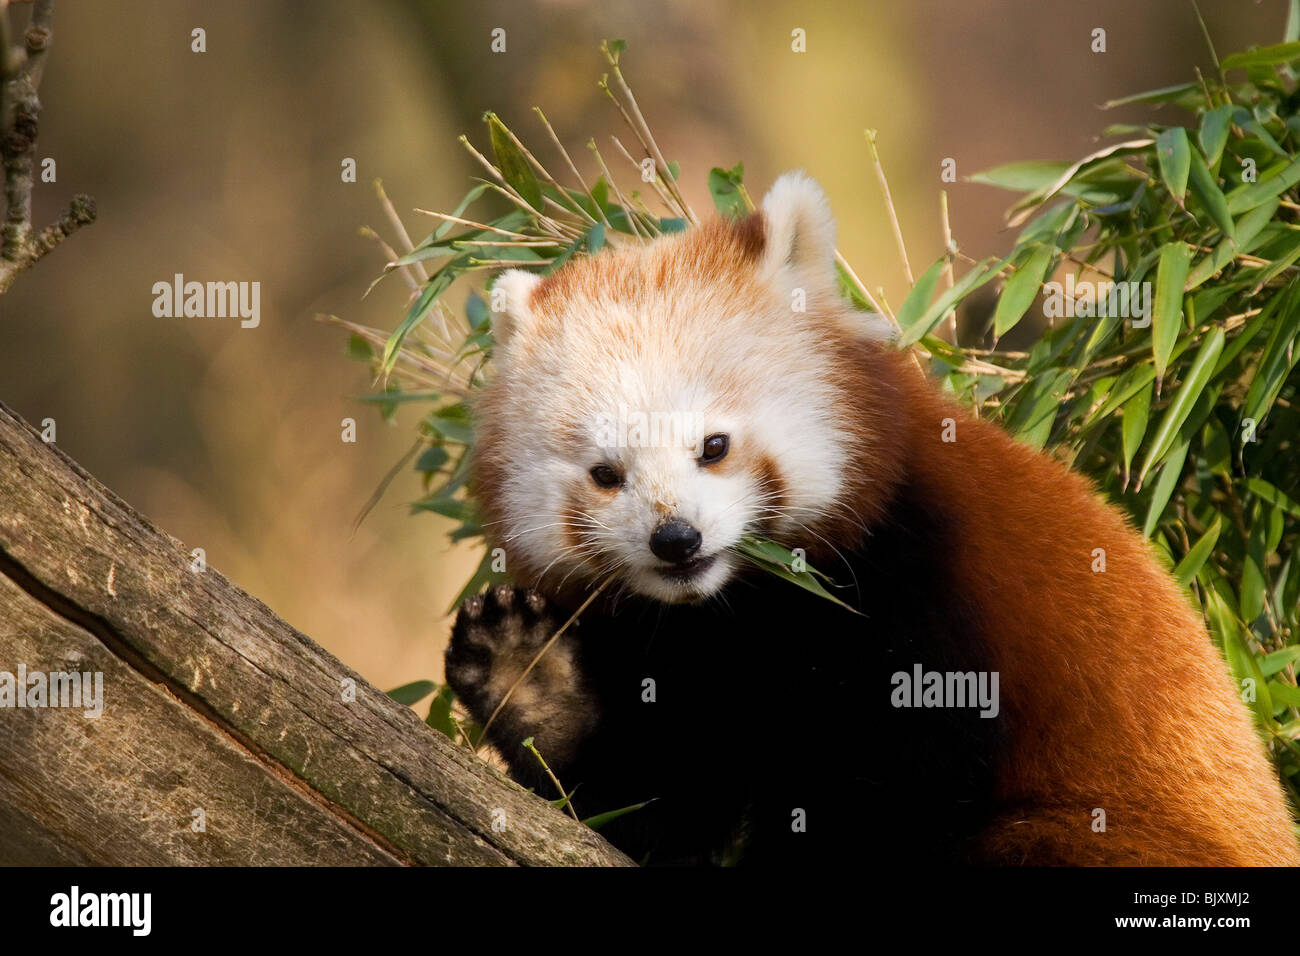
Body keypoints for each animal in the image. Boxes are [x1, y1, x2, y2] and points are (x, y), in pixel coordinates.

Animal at [444, 172, 1300, 866]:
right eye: (605, 475)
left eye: (713, 446)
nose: (676, 539)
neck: (743, 604)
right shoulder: (676, 651)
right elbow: (659, 797)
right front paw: (534, 686)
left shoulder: (924, 583)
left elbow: (894, 789)